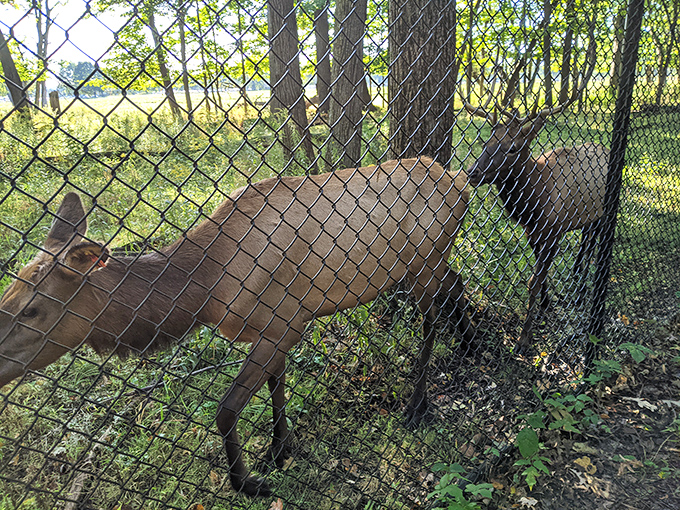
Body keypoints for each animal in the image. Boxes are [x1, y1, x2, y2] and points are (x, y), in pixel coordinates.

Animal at [0, 157, 472, 497]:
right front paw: (279, 449)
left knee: (433, 313)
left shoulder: (284, 321)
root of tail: (460, 179)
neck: (206, 294)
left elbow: (226, 409)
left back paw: (418, 402)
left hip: (422, 260)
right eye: (10, 292)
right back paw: (467, 344)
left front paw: (248, 482)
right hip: (424, 264)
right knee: (457, 282)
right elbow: (276, 386)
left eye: (31, 309)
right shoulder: (279, 327)